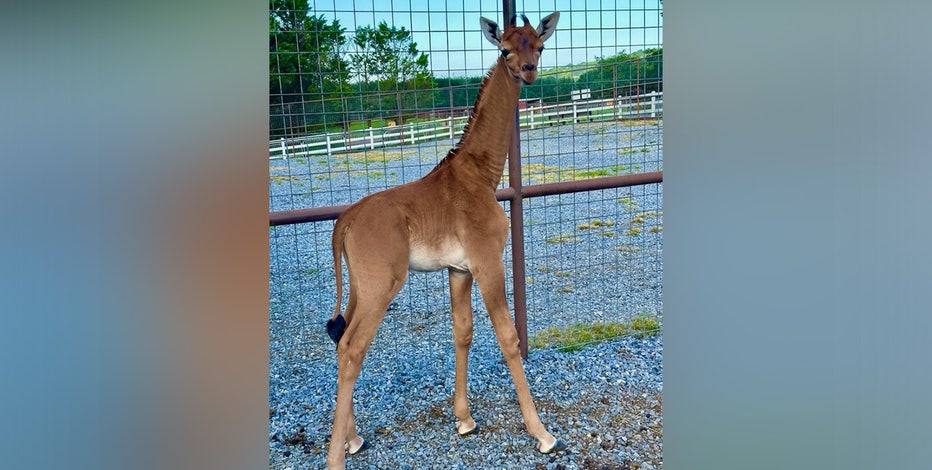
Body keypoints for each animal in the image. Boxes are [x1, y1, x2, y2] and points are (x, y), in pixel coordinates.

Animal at [323, 12, 562, 469]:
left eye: (539, 46)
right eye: (505, 49)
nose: (528, 71)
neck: (482, 175)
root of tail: (344, 221)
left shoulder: (458, 269)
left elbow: (462, 331)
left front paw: (464, 418)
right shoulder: (488, 262)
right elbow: (509, 338)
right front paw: (541, 433)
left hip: (360, 286)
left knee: (340, 339)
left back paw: (353, 439)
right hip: (382, 285)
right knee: (352, 349)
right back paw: (336, 456)